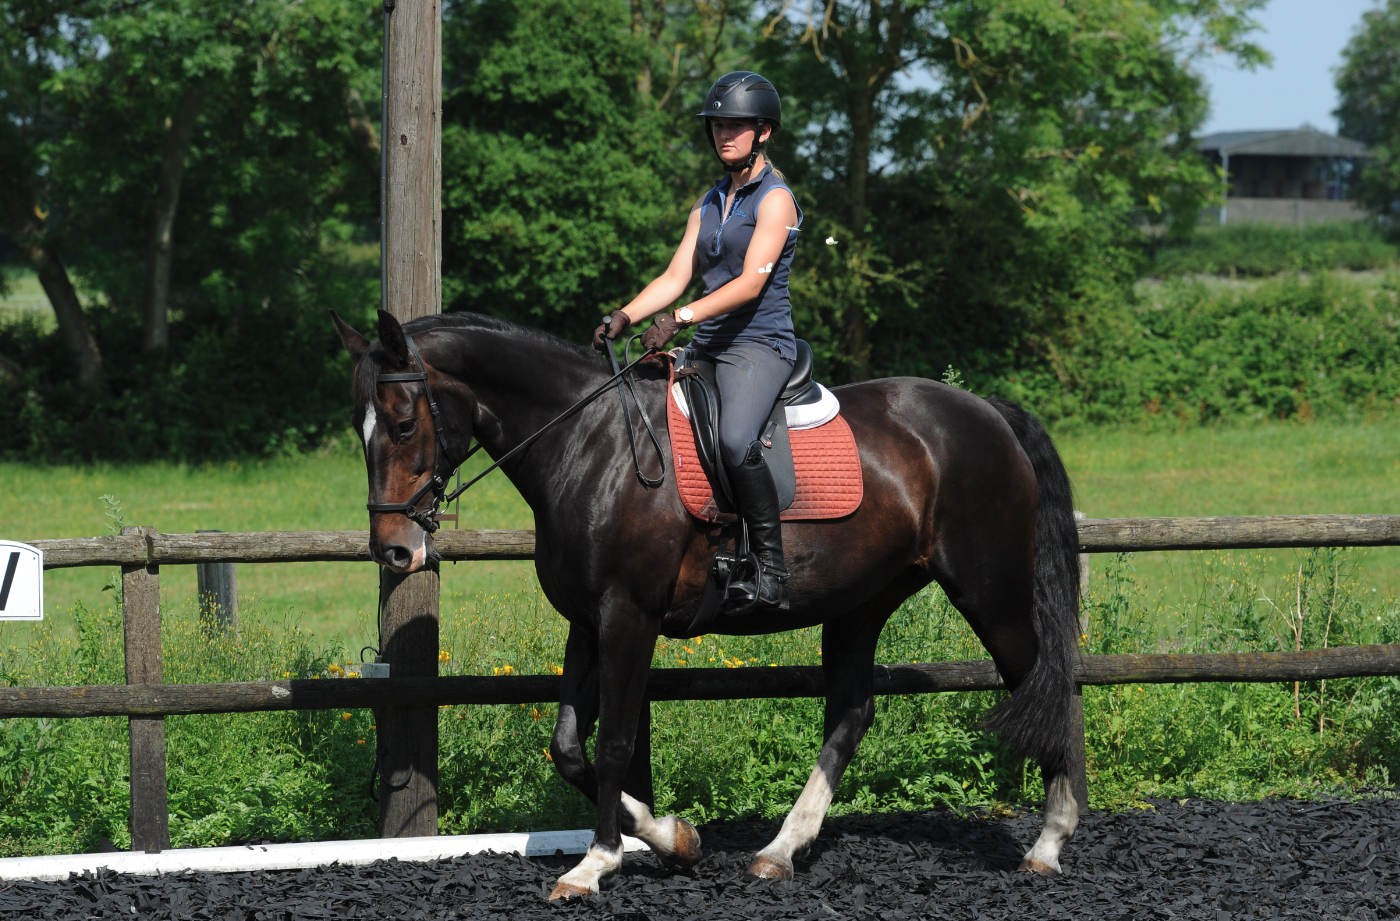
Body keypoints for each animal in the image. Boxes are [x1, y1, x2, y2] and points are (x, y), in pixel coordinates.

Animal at [332, 308, 1082, 899]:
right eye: (359, 428)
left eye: (403, 424)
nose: (392, 550)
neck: (588, 444)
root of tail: (985, 411)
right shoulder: (587, 621)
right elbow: (568, 747)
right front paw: (673, 838)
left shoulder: (628, 617)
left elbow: (613, 744)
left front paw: (595, 864)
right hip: (861, 603)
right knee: (852, 713)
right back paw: (779, 851)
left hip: (992, 595)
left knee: (1052, 683)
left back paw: (1049, 843)